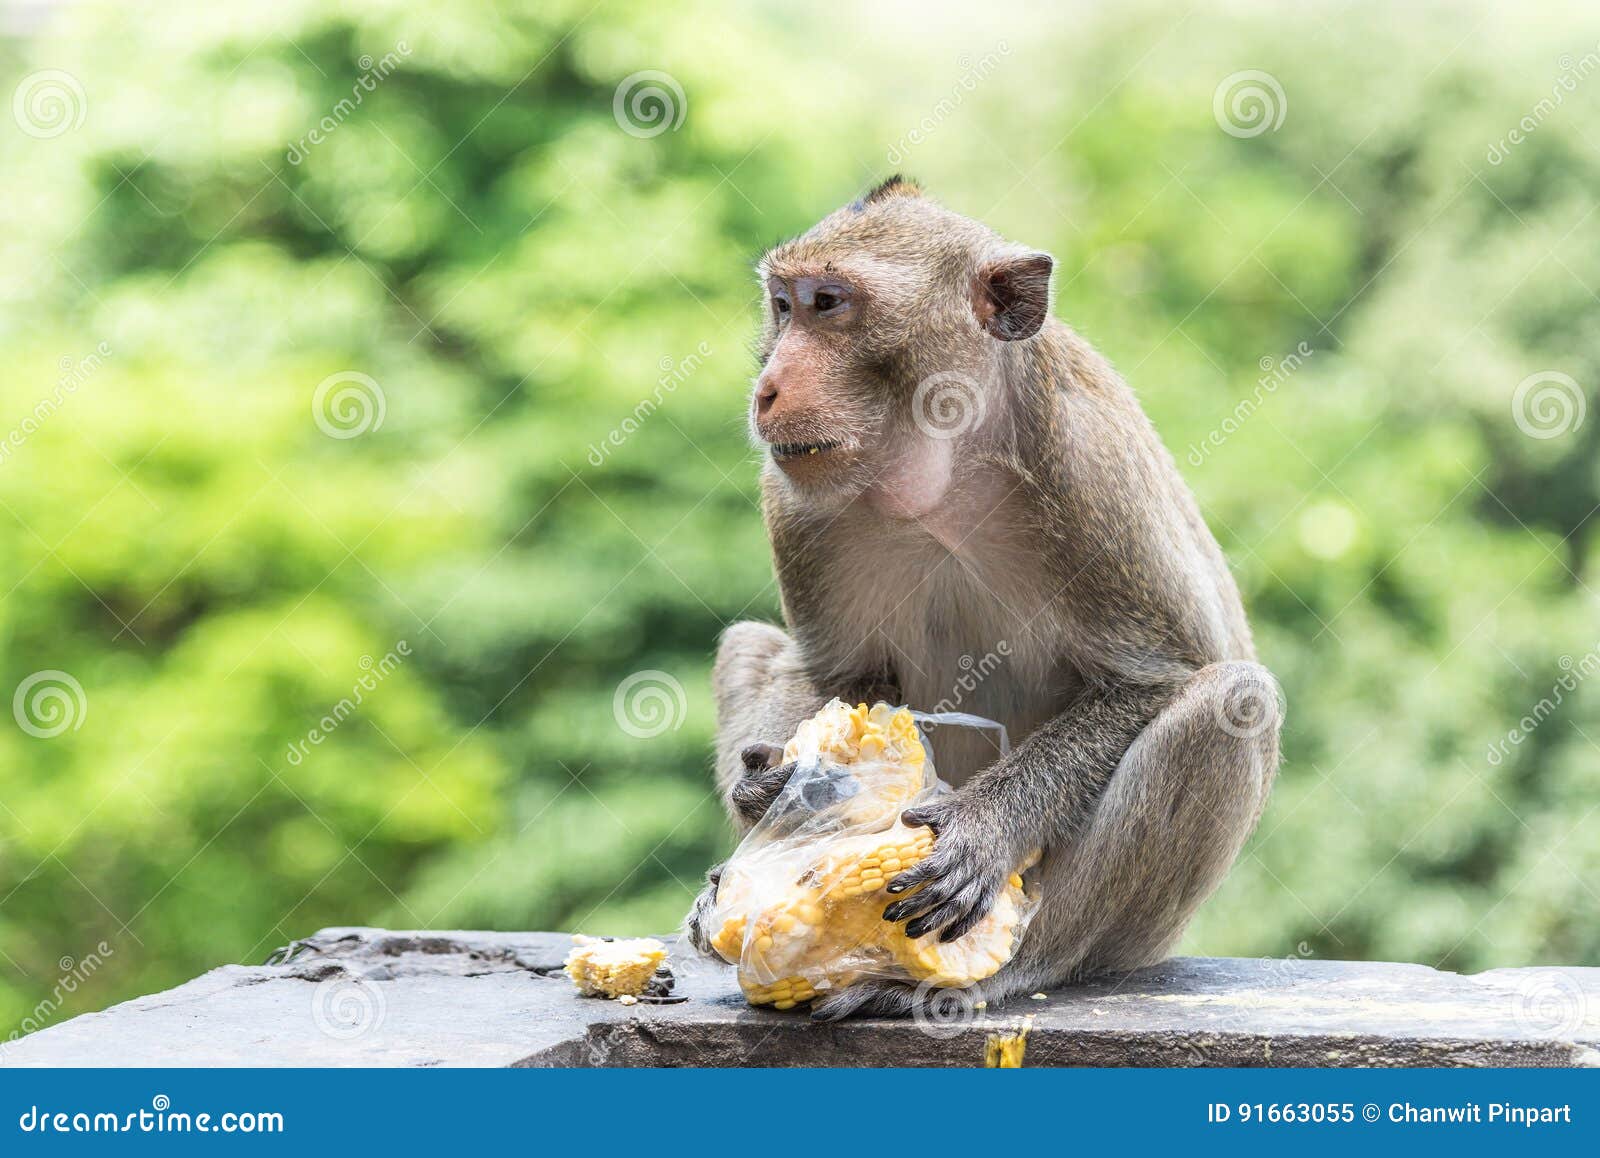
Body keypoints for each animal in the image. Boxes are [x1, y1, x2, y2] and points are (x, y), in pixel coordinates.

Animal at [685, 176, 1282, 1021]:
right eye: (782, 305)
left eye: (828, 304)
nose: (767, 388)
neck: (941, 474)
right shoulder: (794, 501)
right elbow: (837, 679)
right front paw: (772, 787)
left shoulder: (1084, 468)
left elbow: (1158, 678)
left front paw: (982, 826)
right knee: (750, 644)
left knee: (1233, 701)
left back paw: (1004, 970)